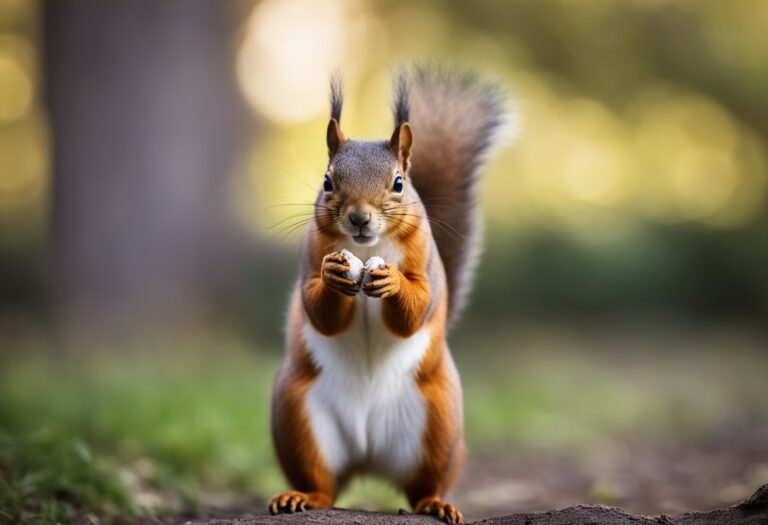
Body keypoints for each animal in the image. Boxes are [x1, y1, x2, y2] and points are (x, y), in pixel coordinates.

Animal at [269, 66, 507, 524]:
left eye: (398, 183)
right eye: (327, 180)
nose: (359, 218)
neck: (365, 249)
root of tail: (367, 456)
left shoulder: (425, 265)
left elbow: (415, 310)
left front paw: (393, 283)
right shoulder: (310, 256)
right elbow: (318, 311)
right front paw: (332, 276)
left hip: (439, 429)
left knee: (424, 486)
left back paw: (437, 504)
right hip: (299, 419)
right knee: (322, 482)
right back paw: (301, 496)